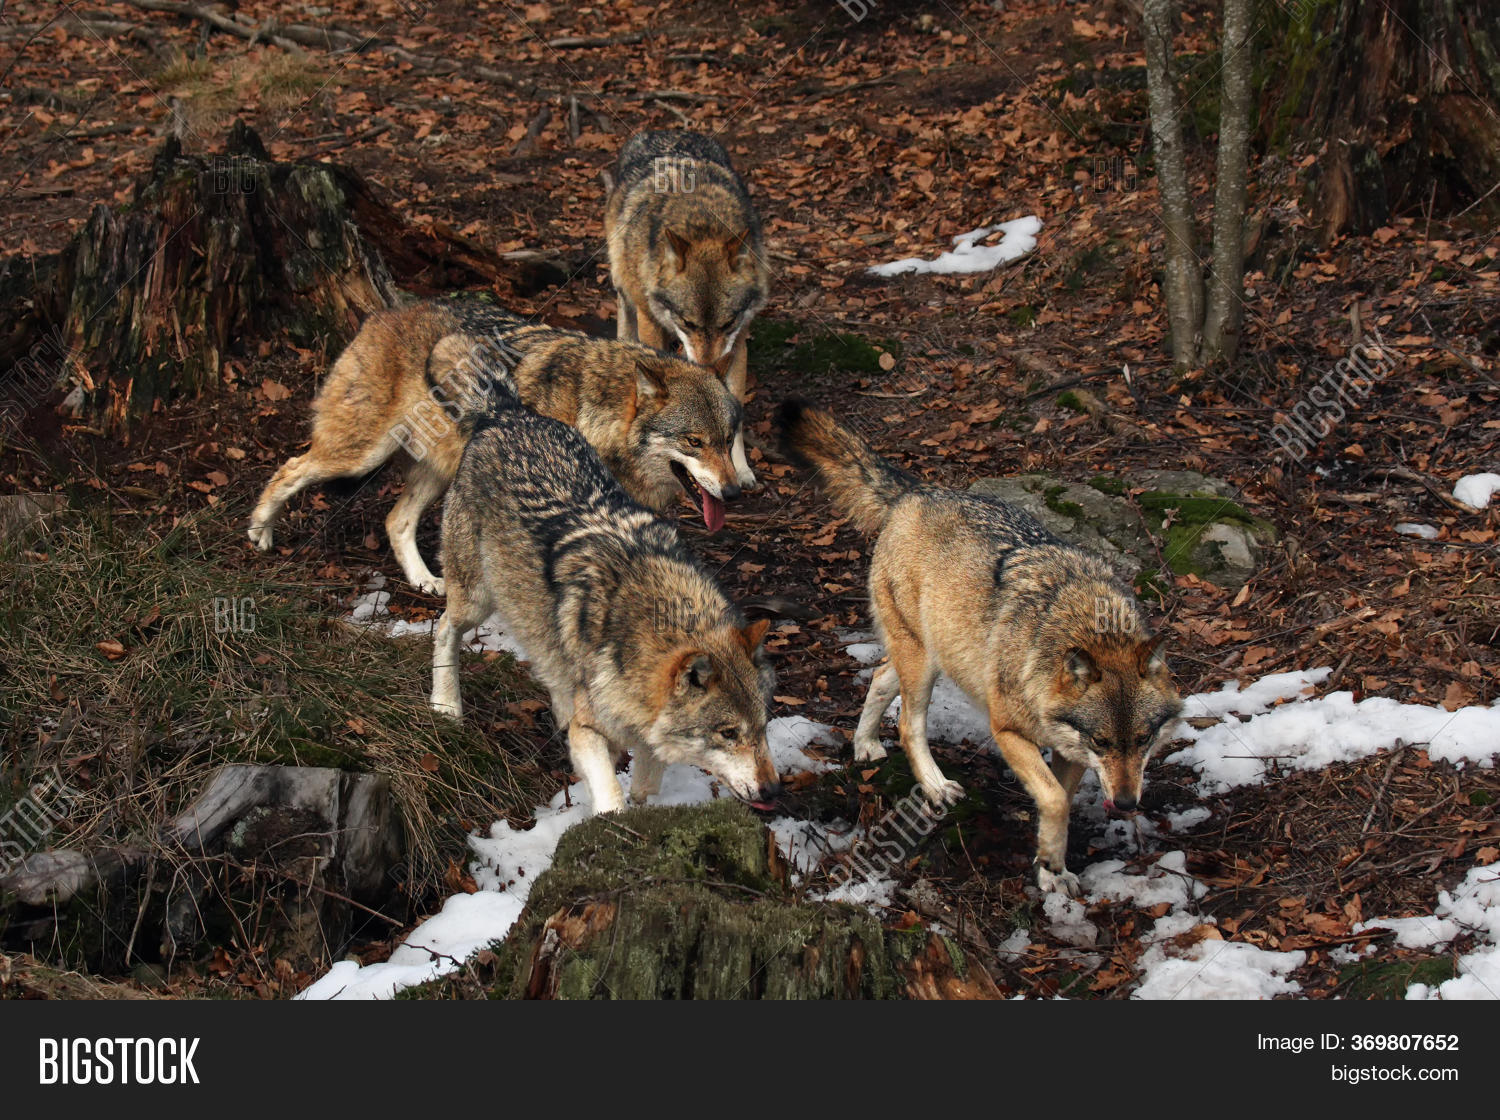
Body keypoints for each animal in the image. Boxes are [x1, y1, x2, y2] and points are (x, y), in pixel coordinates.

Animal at [247, 300, 746, 596]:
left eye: (727, 440)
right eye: (694, 442)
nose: (735, 493)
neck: (593, 411)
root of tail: (384, 312)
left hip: (438, 471)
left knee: (395, 521)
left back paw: (425, 580)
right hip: (358, 456)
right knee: (288, 468)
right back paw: (259, 533)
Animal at [431, 394, 780, 815]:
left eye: (764, 726)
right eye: (728, 733)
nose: (773, 791)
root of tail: (509, 412)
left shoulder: (647, 736)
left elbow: (646, 787)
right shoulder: (590, 732)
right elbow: (612, 796)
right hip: (476, 601)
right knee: (443, 628)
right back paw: (445, 706)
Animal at [605, 130, 769, 489]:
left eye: (727, 323)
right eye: (687, 322)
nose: (708, 368)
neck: (701, 221)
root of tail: (665, 131)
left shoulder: (739, 341)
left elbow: (735, 407)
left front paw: (741, 468)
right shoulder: (651, 324)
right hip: (622, 282)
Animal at [776, 398, 1182, 895]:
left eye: (1143, 740)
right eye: (1102, 741)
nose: (1126, 804)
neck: (1082, 625)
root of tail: (918, 491)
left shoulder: (1069, 752)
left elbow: (1059, 803)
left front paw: (1052, 868)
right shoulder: (1008, 731)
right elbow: (1054, 800)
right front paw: (1050, 864)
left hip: (928, 652)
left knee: (879, 676)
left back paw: (865, 745)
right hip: (925, 664)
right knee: (908, 726)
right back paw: (934, 786)